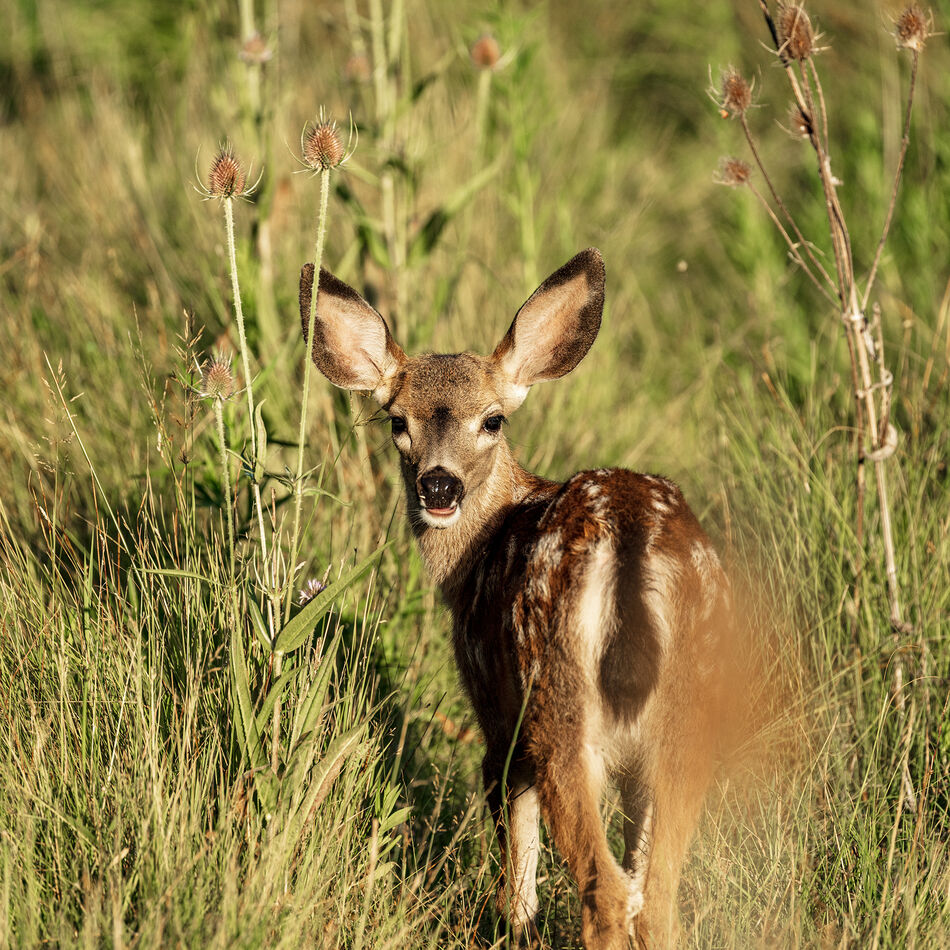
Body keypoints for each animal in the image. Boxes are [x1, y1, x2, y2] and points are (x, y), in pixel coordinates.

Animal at [298, 248, 730, 949]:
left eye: (492, 420)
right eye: (398, 421)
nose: (439, 485)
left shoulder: (496, 705)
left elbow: (512, 845)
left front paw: (514, 927)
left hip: (556, 704)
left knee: (608, 888)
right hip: (691, 711)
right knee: (656, 894)